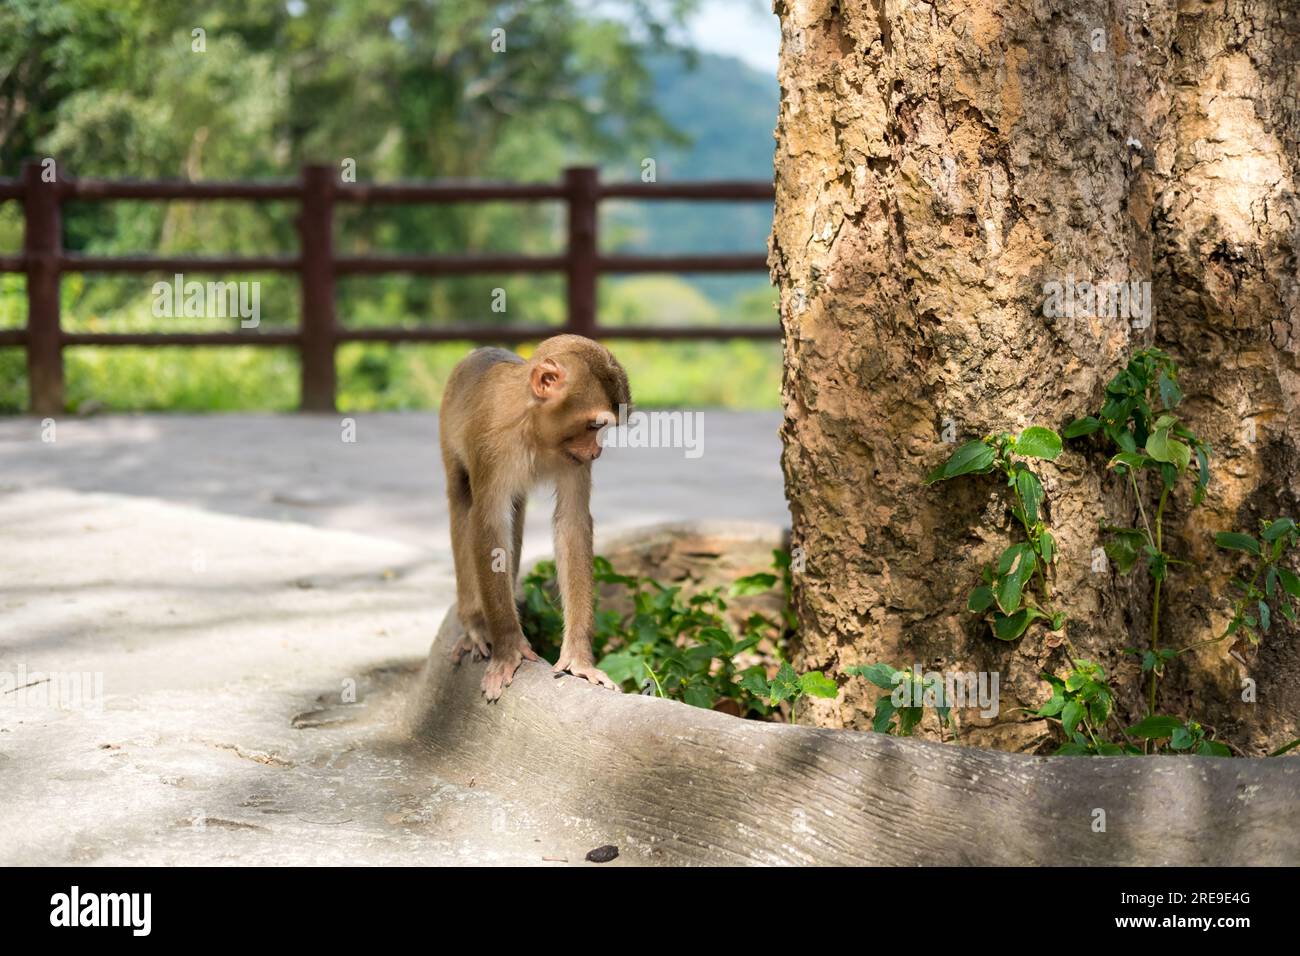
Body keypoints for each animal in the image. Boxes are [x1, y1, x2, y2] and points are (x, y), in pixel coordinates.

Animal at [438, 334, 632, 701]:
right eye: (595, 425)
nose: (597, 452)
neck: (531, 426)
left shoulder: (574, 458)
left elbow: (572, 523)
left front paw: (578, 659)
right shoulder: (490, 441)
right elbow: (488, 525)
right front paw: (508, 648)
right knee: (462, 502)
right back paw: (476, 624)